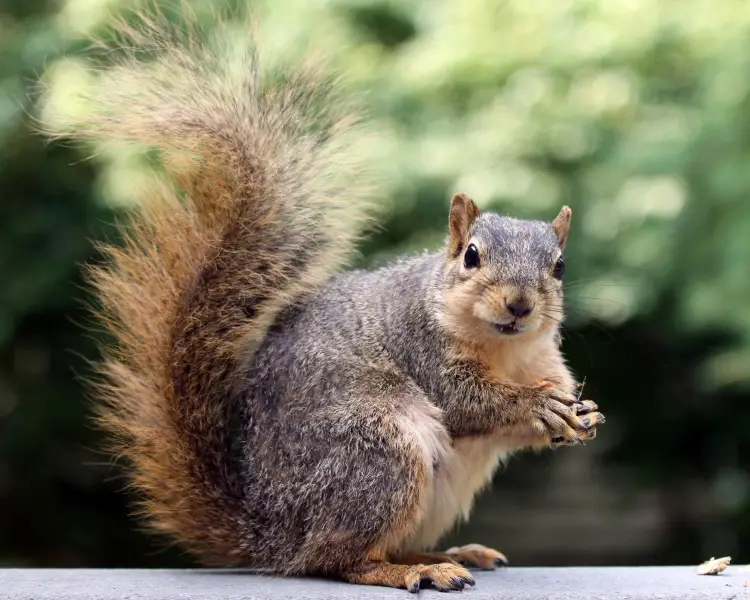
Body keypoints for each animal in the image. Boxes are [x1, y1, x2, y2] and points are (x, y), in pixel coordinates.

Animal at [43, 10, 604, 594]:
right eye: (471, 256)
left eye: (559, 267)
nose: (518, 305)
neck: (504, 350)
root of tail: (269, 535)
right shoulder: (421, 345)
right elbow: (465, 402)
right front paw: (534, 406)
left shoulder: (542, 356)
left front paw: (581, 413)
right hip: (377, 453)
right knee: (339, 559)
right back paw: (417, 568)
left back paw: (450, 551)